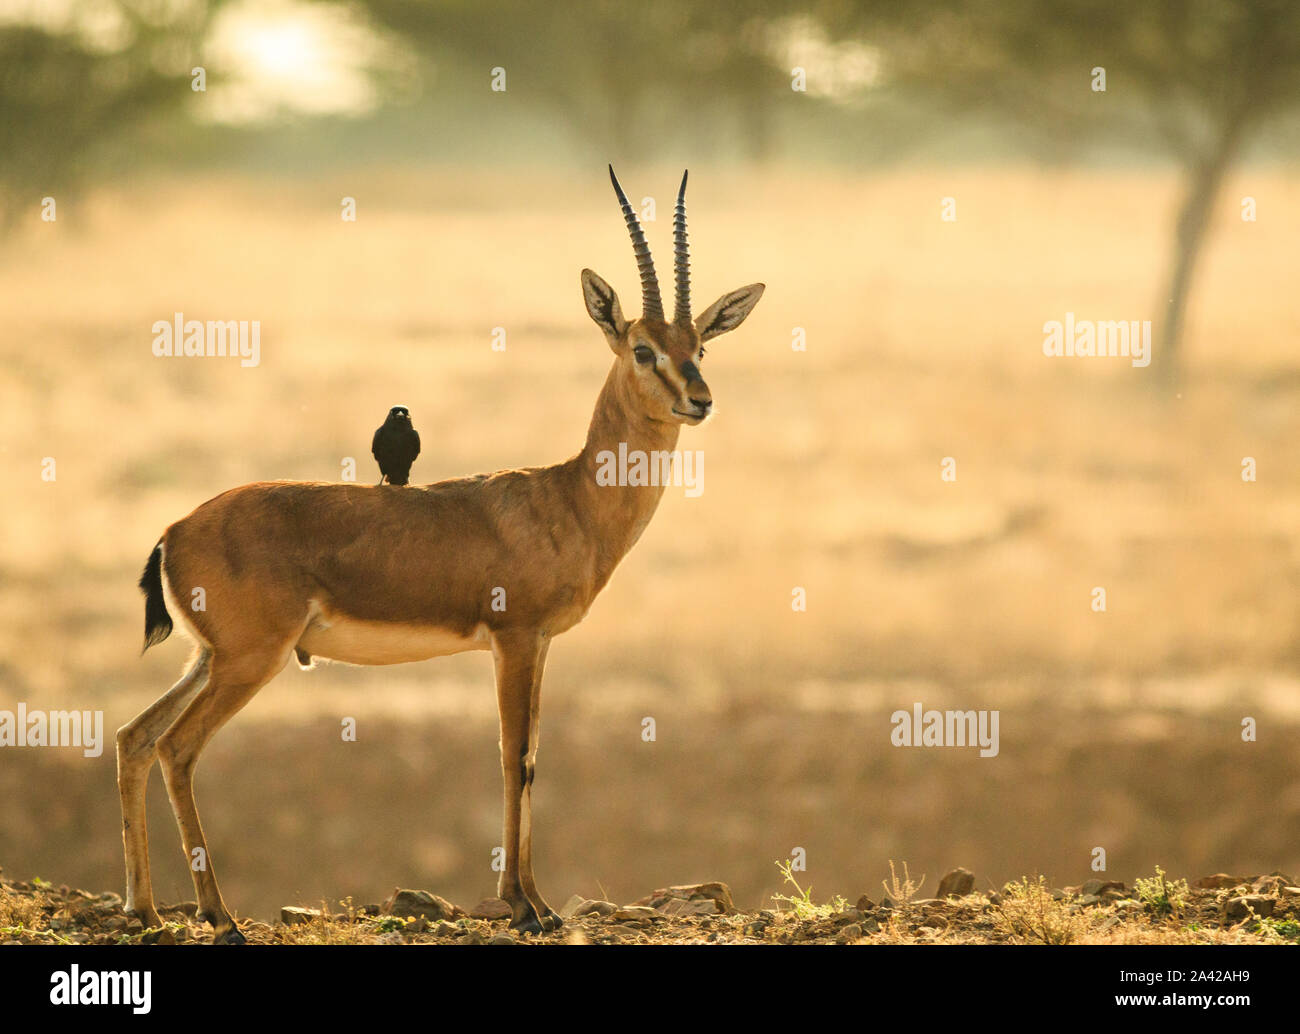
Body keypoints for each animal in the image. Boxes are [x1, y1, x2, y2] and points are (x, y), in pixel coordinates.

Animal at [117, 167, 764, 942]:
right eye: (643, 348)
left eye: (701, 343)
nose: (700, 400)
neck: (568, 498)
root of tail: (174, 530)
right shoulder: (514, 639)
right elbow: (515, 757)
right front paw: (526, 905)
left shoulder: (540, 644)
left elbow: (530, 755)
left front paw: (534, 901)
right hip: (250, 659)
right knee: (177, 747)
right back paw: (219, 914)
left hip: (206, 657)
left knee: (133, 737)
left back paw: (146, 909)